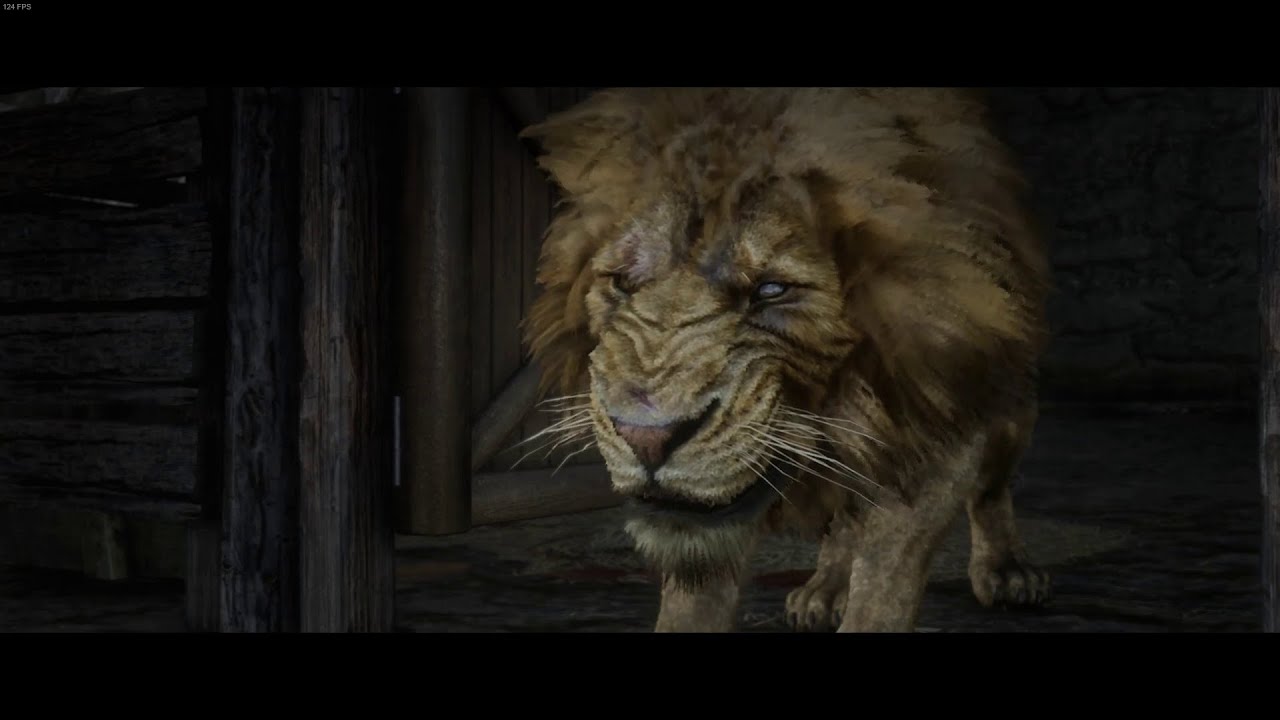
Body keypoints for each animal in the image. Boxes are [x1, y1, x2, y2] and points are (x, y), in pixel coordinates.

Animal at [519, 88, 1052, 632]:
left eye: (772, 291)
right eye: (623, 283)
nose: (645, 438)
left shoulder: (938, 437)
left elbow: (883, 588)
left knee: (990, 487)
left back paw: (1006, 571)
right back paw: (824, 589)